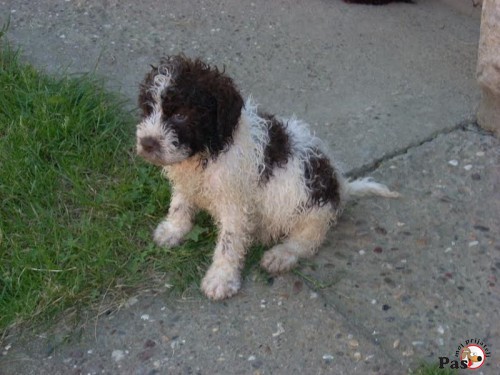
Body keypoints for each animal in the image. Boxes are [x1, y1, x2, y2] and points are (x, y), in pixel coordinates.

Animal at [136, 55, 398, 302]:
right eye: (148, 109)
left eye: (181, 115)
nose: (147, 143)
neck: (210, 150)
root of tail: (340, 185)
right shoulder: (187, 182)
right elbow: (180, 204)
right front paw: (173, 230)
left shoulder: (235, 204)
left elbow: (229, 242)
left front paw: (221, 278)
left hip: (314, 209)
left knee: (307, 240)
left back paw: (282, 254)